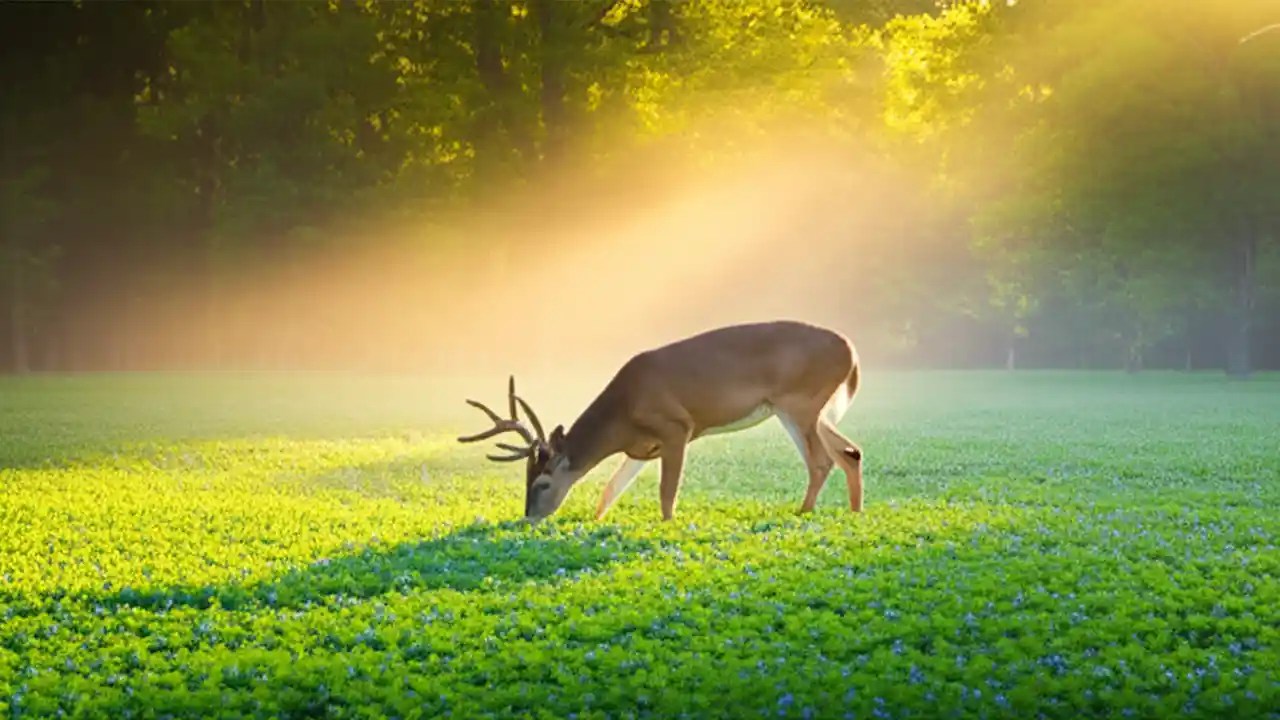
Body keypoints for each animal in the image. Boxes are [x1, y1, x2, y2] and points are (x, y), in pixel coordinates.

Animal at [457, 320, 864, 524]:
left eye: (542, 483)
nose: (528, 519)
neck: (624, 412)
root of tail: (852, 350)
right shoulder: (640, 446)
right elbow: (611, 489)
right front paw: (595, 520)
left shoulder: (676, 427)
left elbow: (667, 492)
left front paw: (667, 526)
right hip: (804, 409)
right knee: (851, 452)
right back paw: (854, 512)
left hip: (800, 403)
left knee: (822, 460)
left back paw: (803, 512)